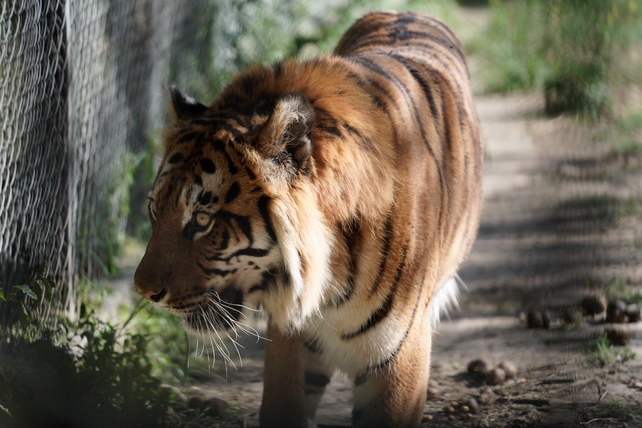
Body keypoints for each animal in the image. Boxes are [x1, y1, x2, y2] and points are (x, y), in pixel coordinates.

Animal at [134, 10, 481, 428]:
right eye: (155, 211)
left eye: (203, 220)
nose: (145, 293)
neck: (332, 282)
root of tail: (405, 11)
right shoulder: (291, 342)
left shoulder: (400, 357)